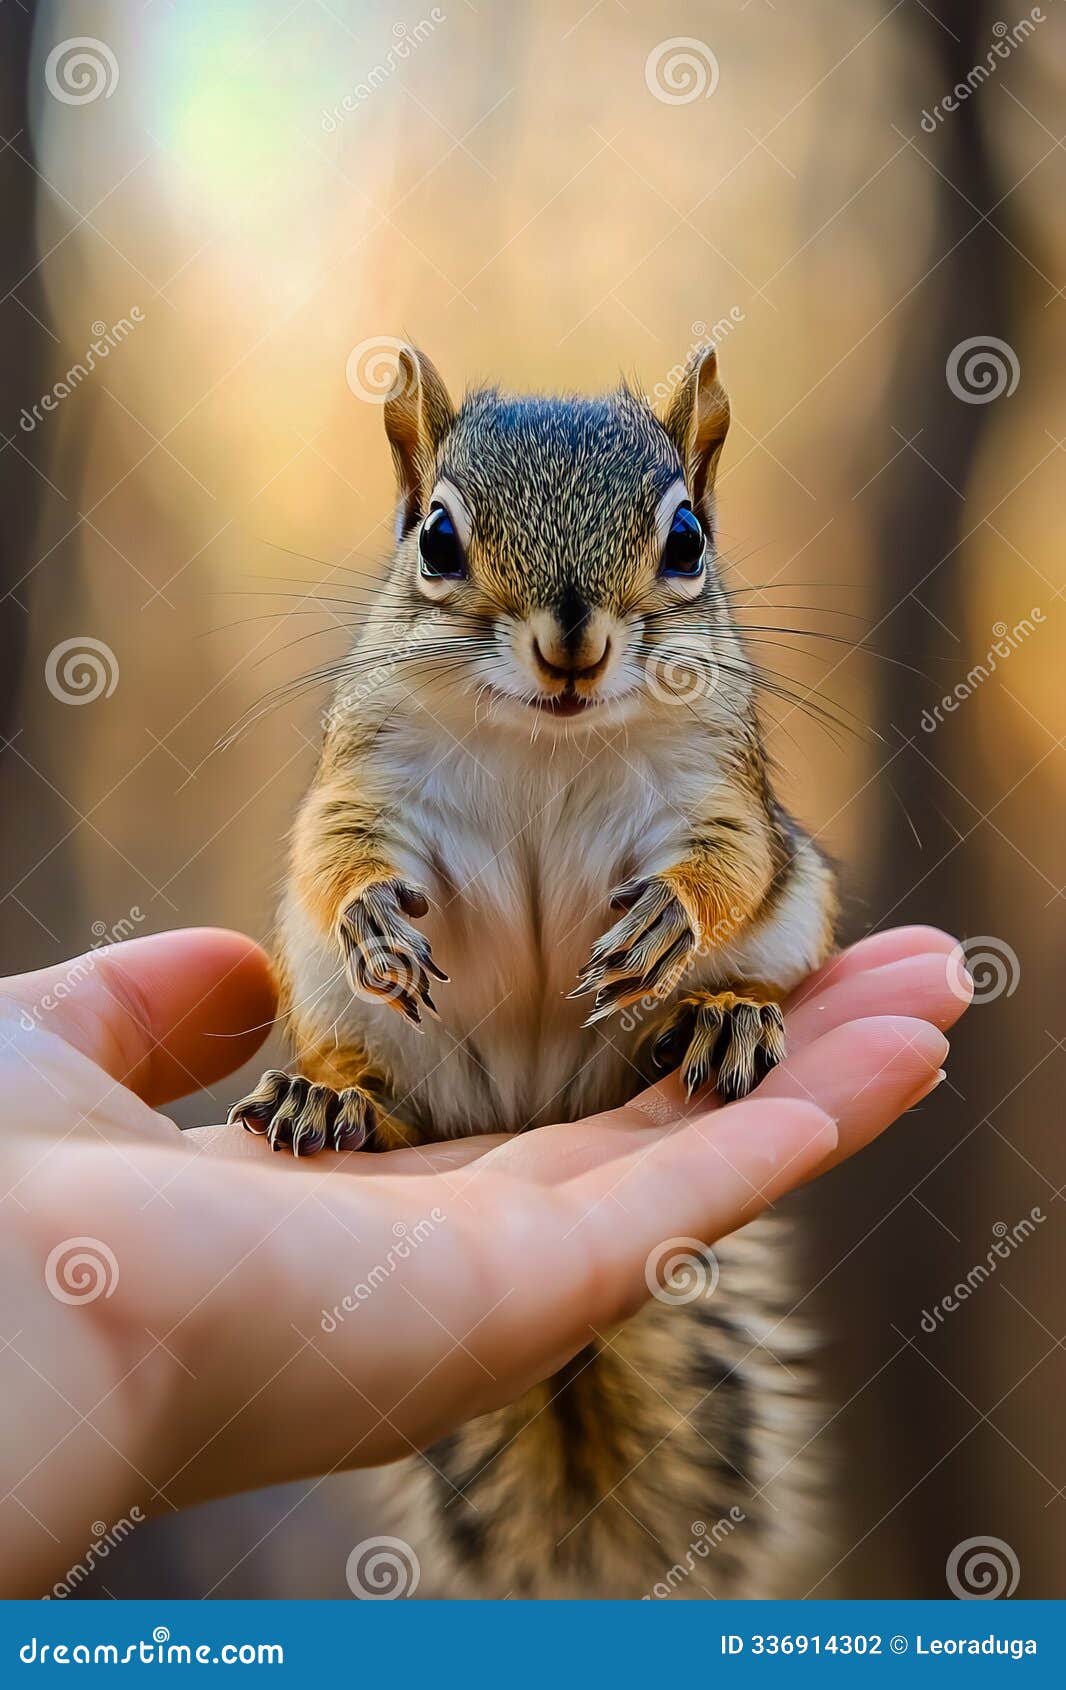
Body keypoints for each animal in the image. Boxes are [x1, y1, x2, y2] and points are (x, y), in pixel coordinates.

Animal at [229, 343, 838, 1598]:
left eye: (687, 538)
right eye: (436, 539)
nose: (572, 646)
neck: (545, 736)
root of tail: (528, 1112)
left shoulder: (721, 788)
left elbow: (727, 863)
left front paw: (664, 928)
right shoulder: (367, 776)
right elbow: (337, 854)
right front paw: (373, 922)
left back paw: (715, 1018)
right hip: (361, 1031)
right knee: (392, 1104)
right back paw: (330, 1098)